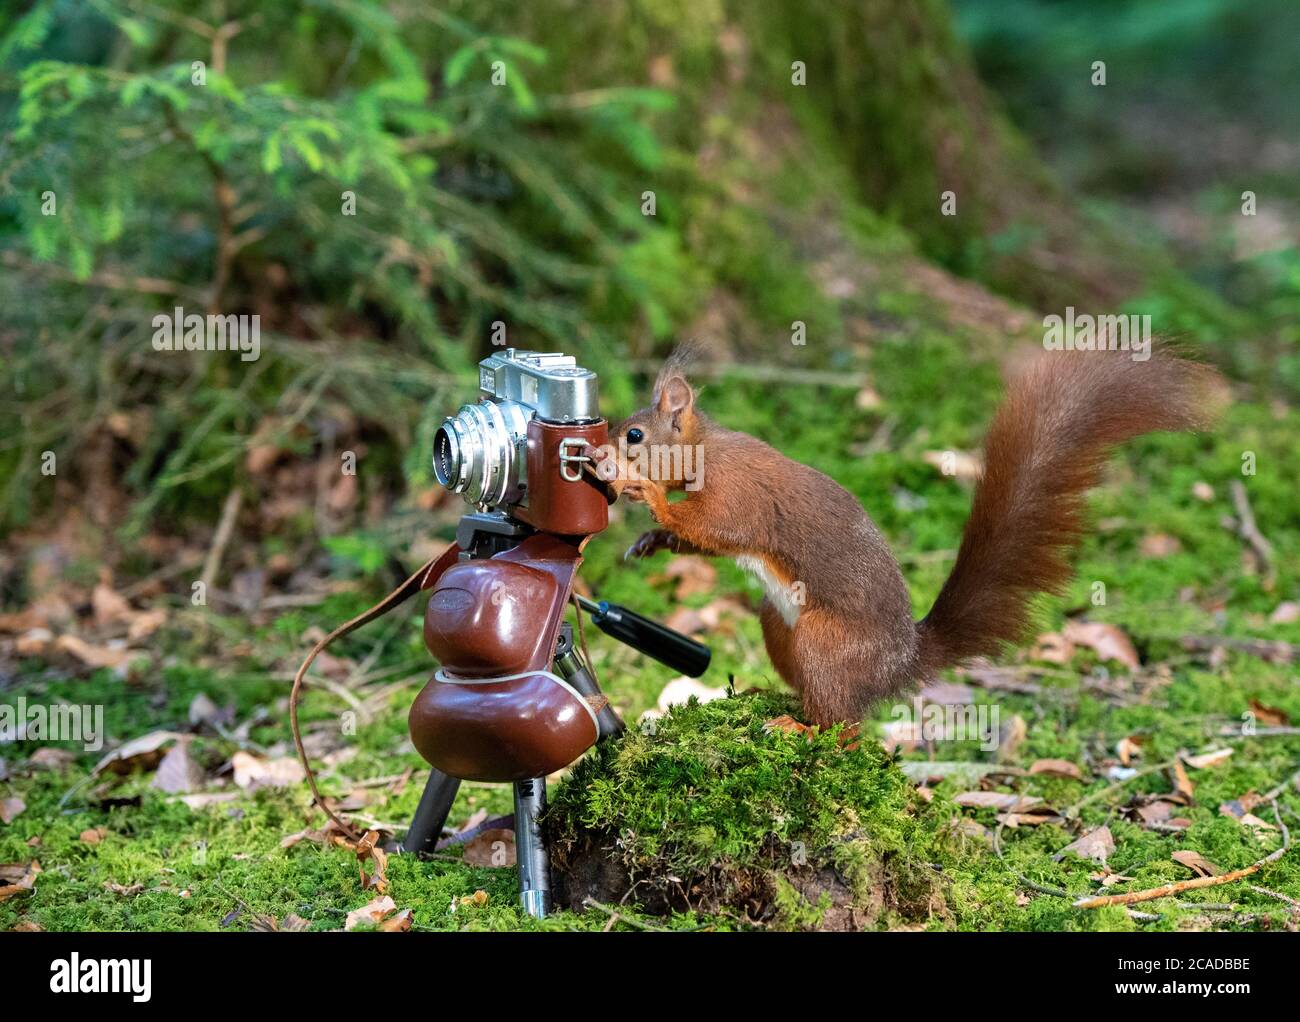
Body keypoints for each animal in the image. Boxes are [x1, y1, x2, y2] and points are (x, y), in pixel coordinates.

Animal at [589, 346, 1224, 727]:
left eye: (635, 436)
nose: (596, 458)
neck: (706, 450)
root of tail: (900, 665)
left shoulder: (737, 493)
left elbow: (715, 526)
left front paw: (649, 499)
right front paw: (650, 543)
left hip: (824, 640)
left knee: (842, 727)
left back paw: (797, 726)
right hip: (779, 623)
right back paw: (776, 701)